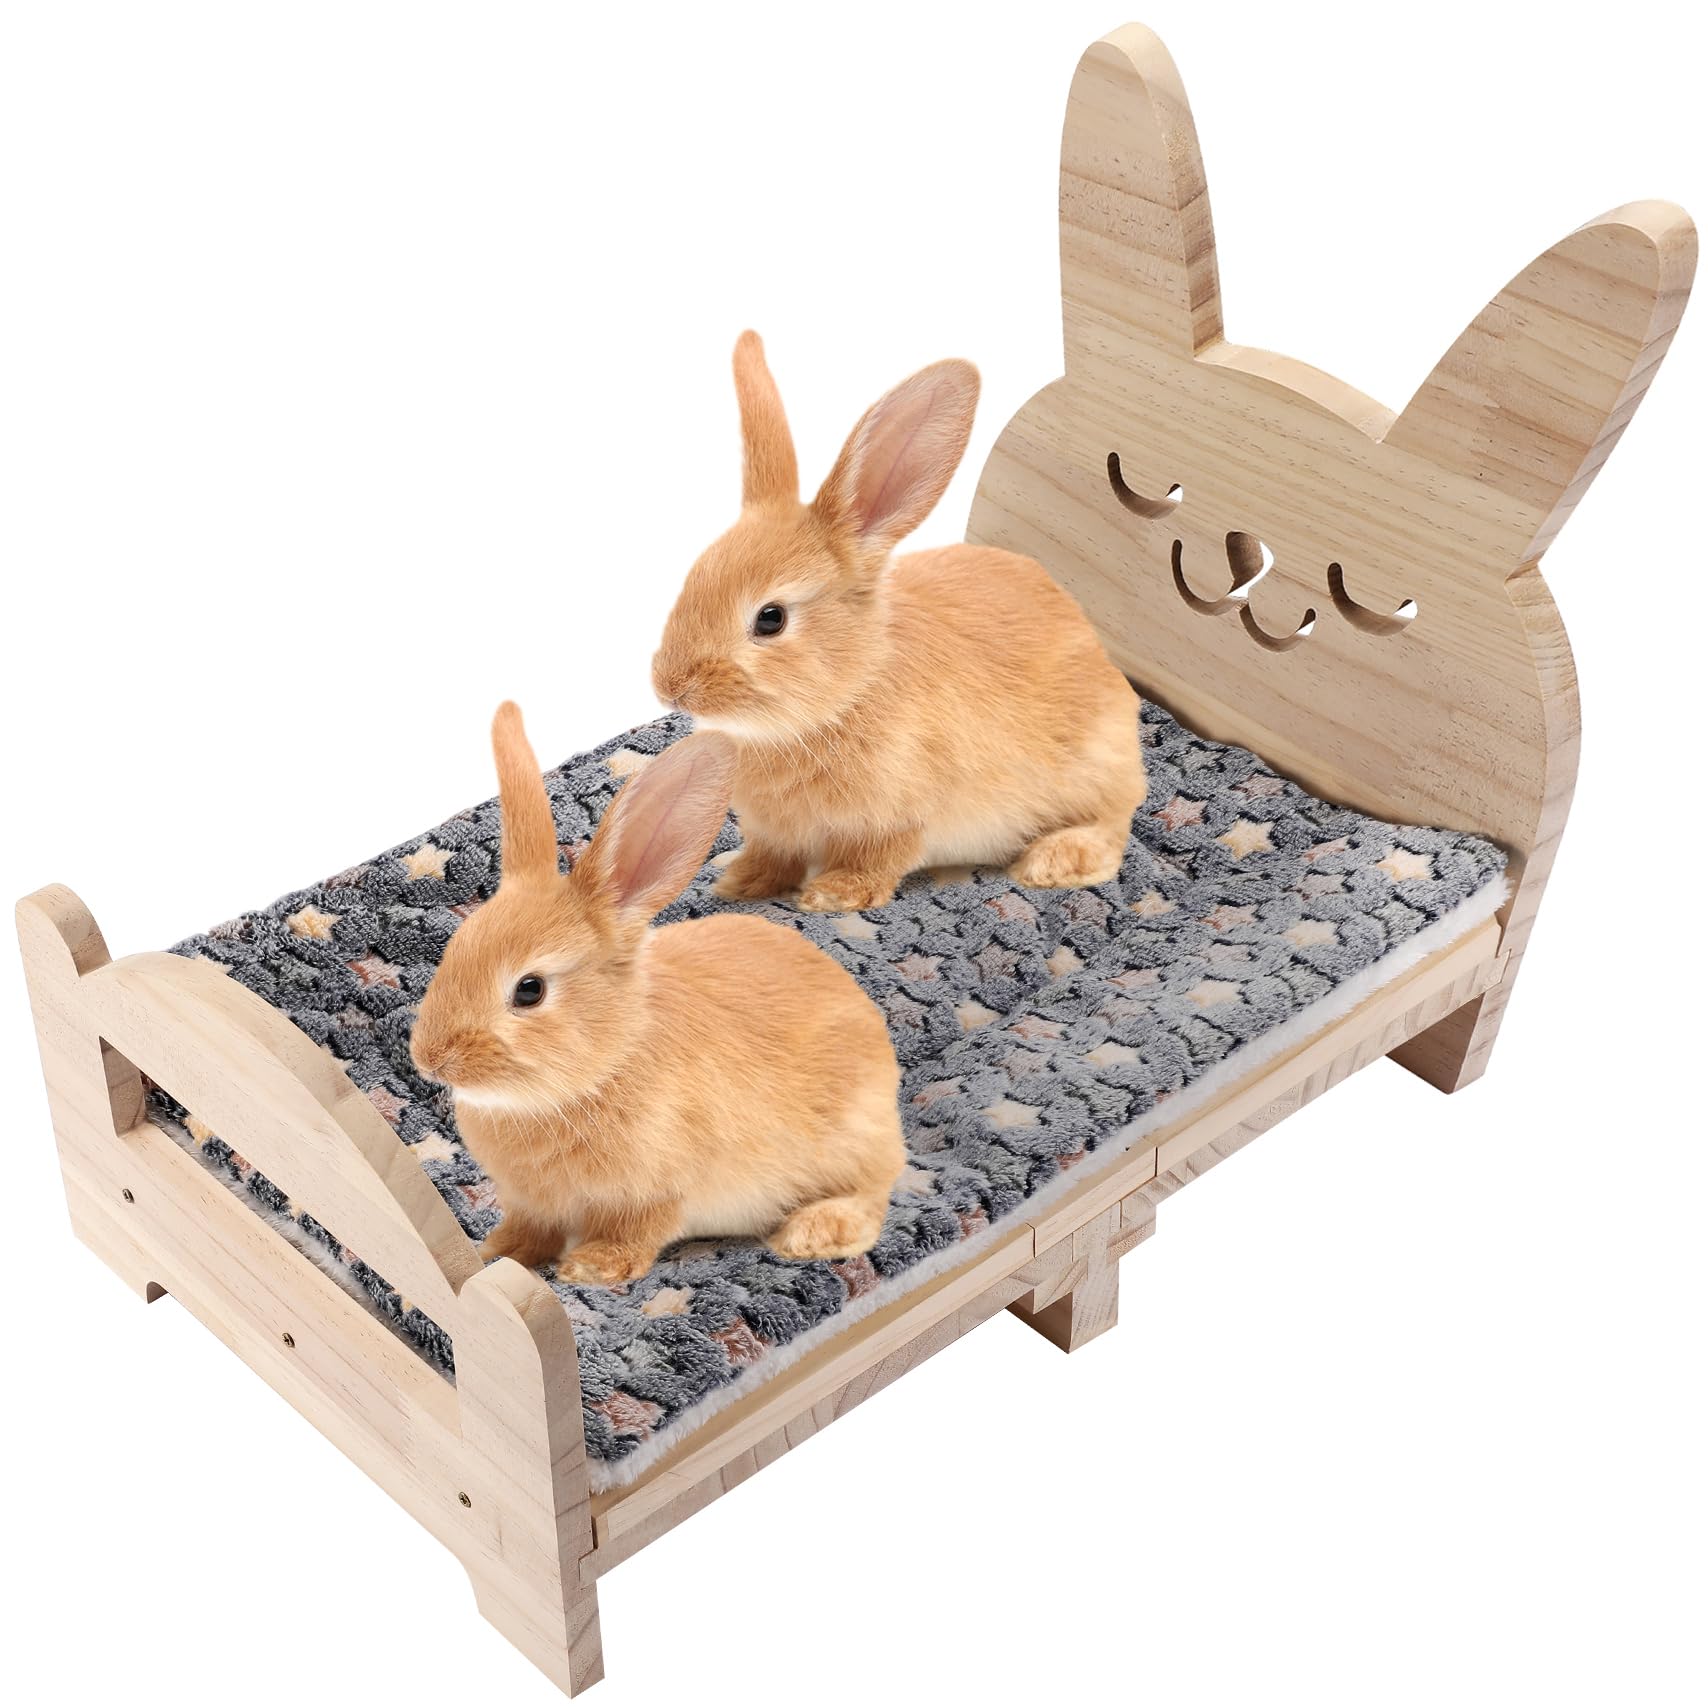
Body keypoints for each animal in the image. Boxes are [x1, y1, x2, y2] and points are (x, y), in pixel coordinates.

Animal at [409, 702, 906, 1285]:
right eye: (453, 949)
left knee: (873, 1195)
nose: (430, 1059)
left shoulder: (656, 1193)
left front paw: (590, 1269)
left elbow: (636, 1232)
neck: (602, 1067)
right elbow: (525, 1234)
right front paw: (495, 1254)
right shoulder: (532, 1205)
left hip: (850, 1145)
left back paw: (811, 1233)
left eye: (529, 990)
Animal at [649, 333, 1147, 913]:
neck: (841, 699)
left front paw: (831, 896)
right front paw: (738, 882)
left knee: (1113, 824)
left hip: (1094, 770)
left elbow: (877, 860)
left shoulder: (900, 819)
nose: (670, 687)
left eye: (770, 619)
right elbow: (771, 857)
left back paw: (1052, 862)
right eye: (693, 577)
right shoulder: (776, 834)